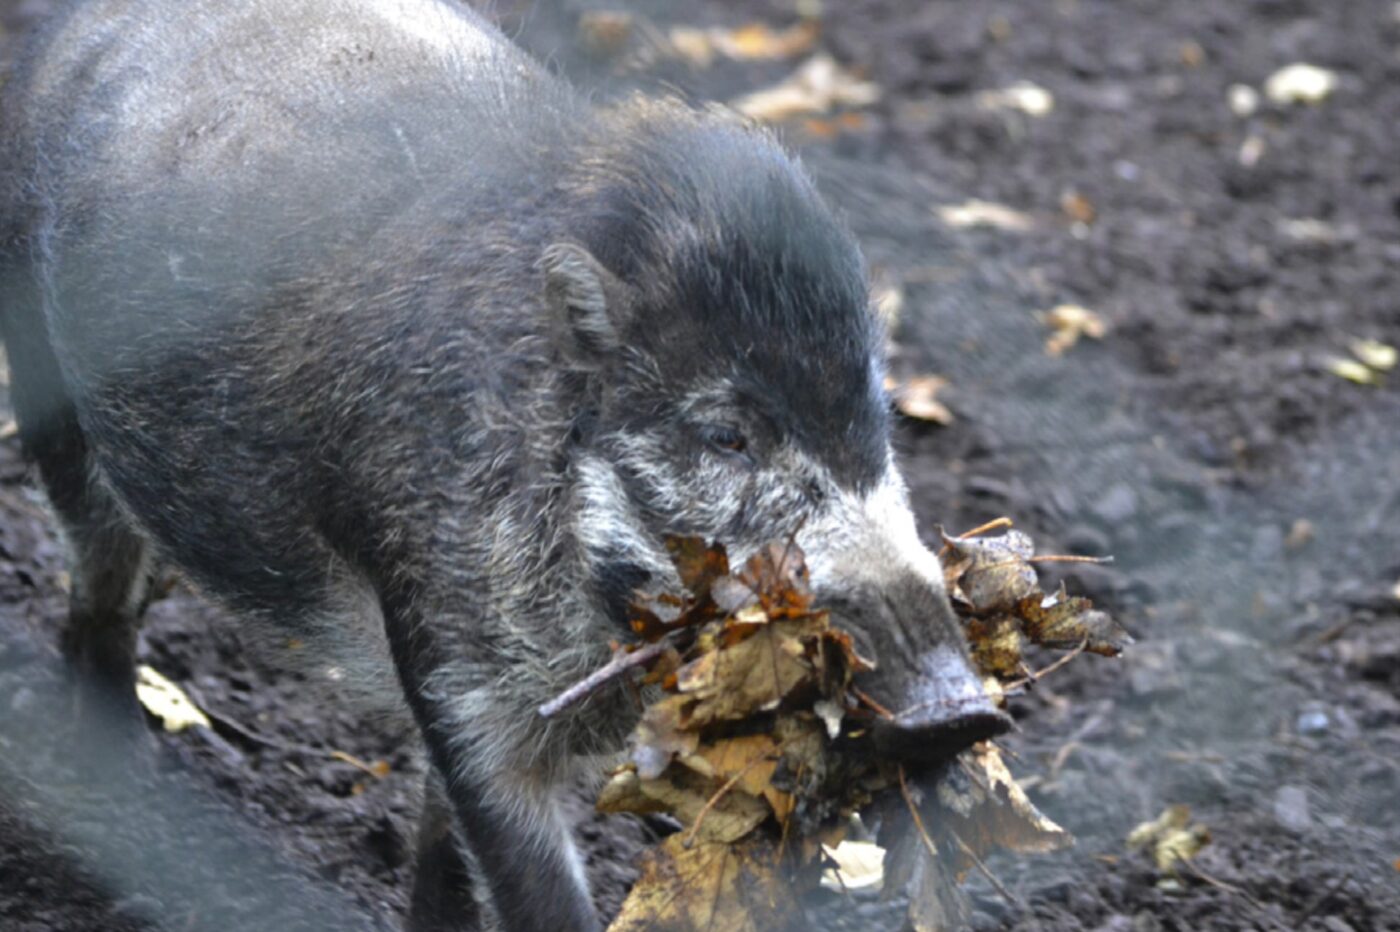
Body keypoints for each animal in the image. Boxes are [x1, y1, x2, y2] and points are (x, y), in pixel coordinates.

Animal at [0, 0, 1010, 929]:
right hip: (51, 402)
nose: (966, 708)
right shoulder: (449, 657)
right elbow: (526, 878)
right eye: (727, 434)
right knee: (97, 595)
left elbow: (444, 839)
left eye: (876, 417)